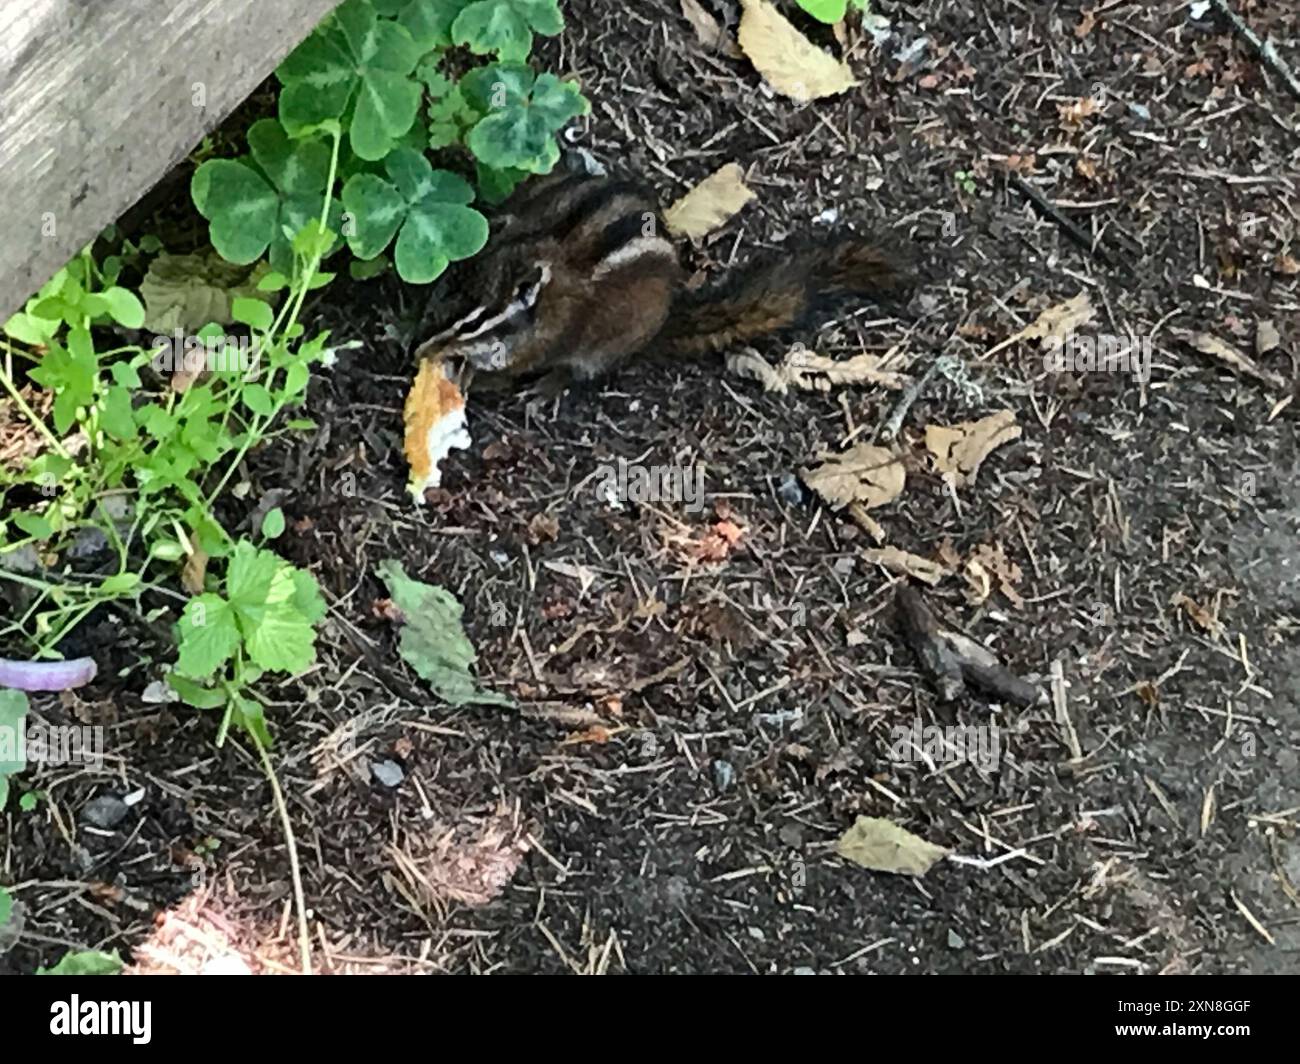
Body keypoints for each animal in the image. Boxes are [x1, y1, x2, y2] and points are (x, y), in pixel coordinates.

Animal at [412, 170, 914, 393]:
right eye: (441, 292)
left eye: (476, 323)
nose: (418, 351)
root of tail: (668, 314)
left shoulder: (545, 341)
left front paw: (478, 378)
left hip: (612, 342)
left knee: (583, 370)